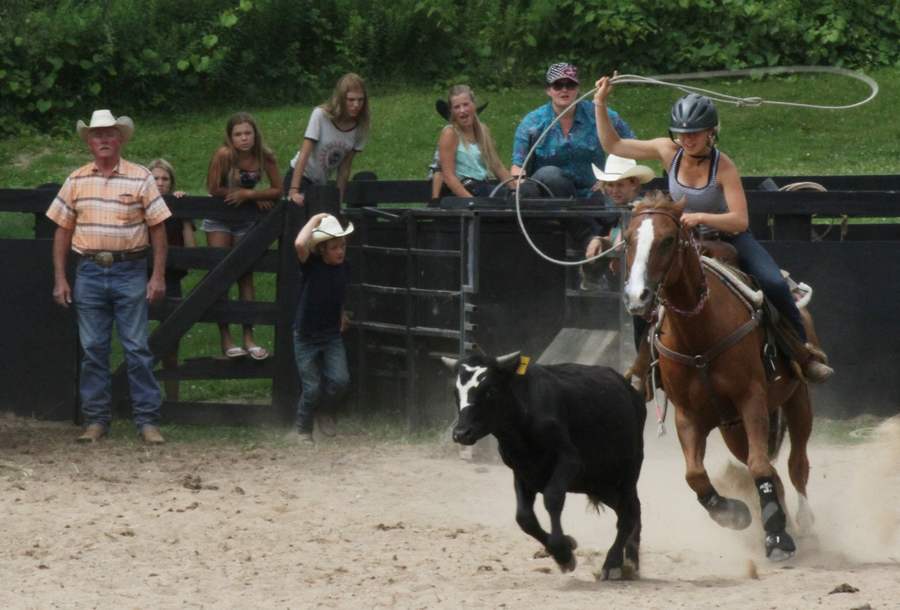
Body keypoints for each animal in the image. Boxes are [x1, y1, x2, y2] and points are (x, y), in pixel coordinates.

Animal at [621, 191, 814, 561]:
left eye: (668, 240)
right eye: (627, 239)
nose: (638, 297)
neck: (699, 333)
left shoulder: (752, 400)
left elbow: (760, 467)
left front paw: (777, 538)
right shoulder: (688, 416)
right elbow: (695, 475)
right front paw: (735, 514)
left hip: (798, 400)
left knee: (796, 466)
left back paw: (804, 524)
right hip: (733, 430)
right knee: (771, 471)